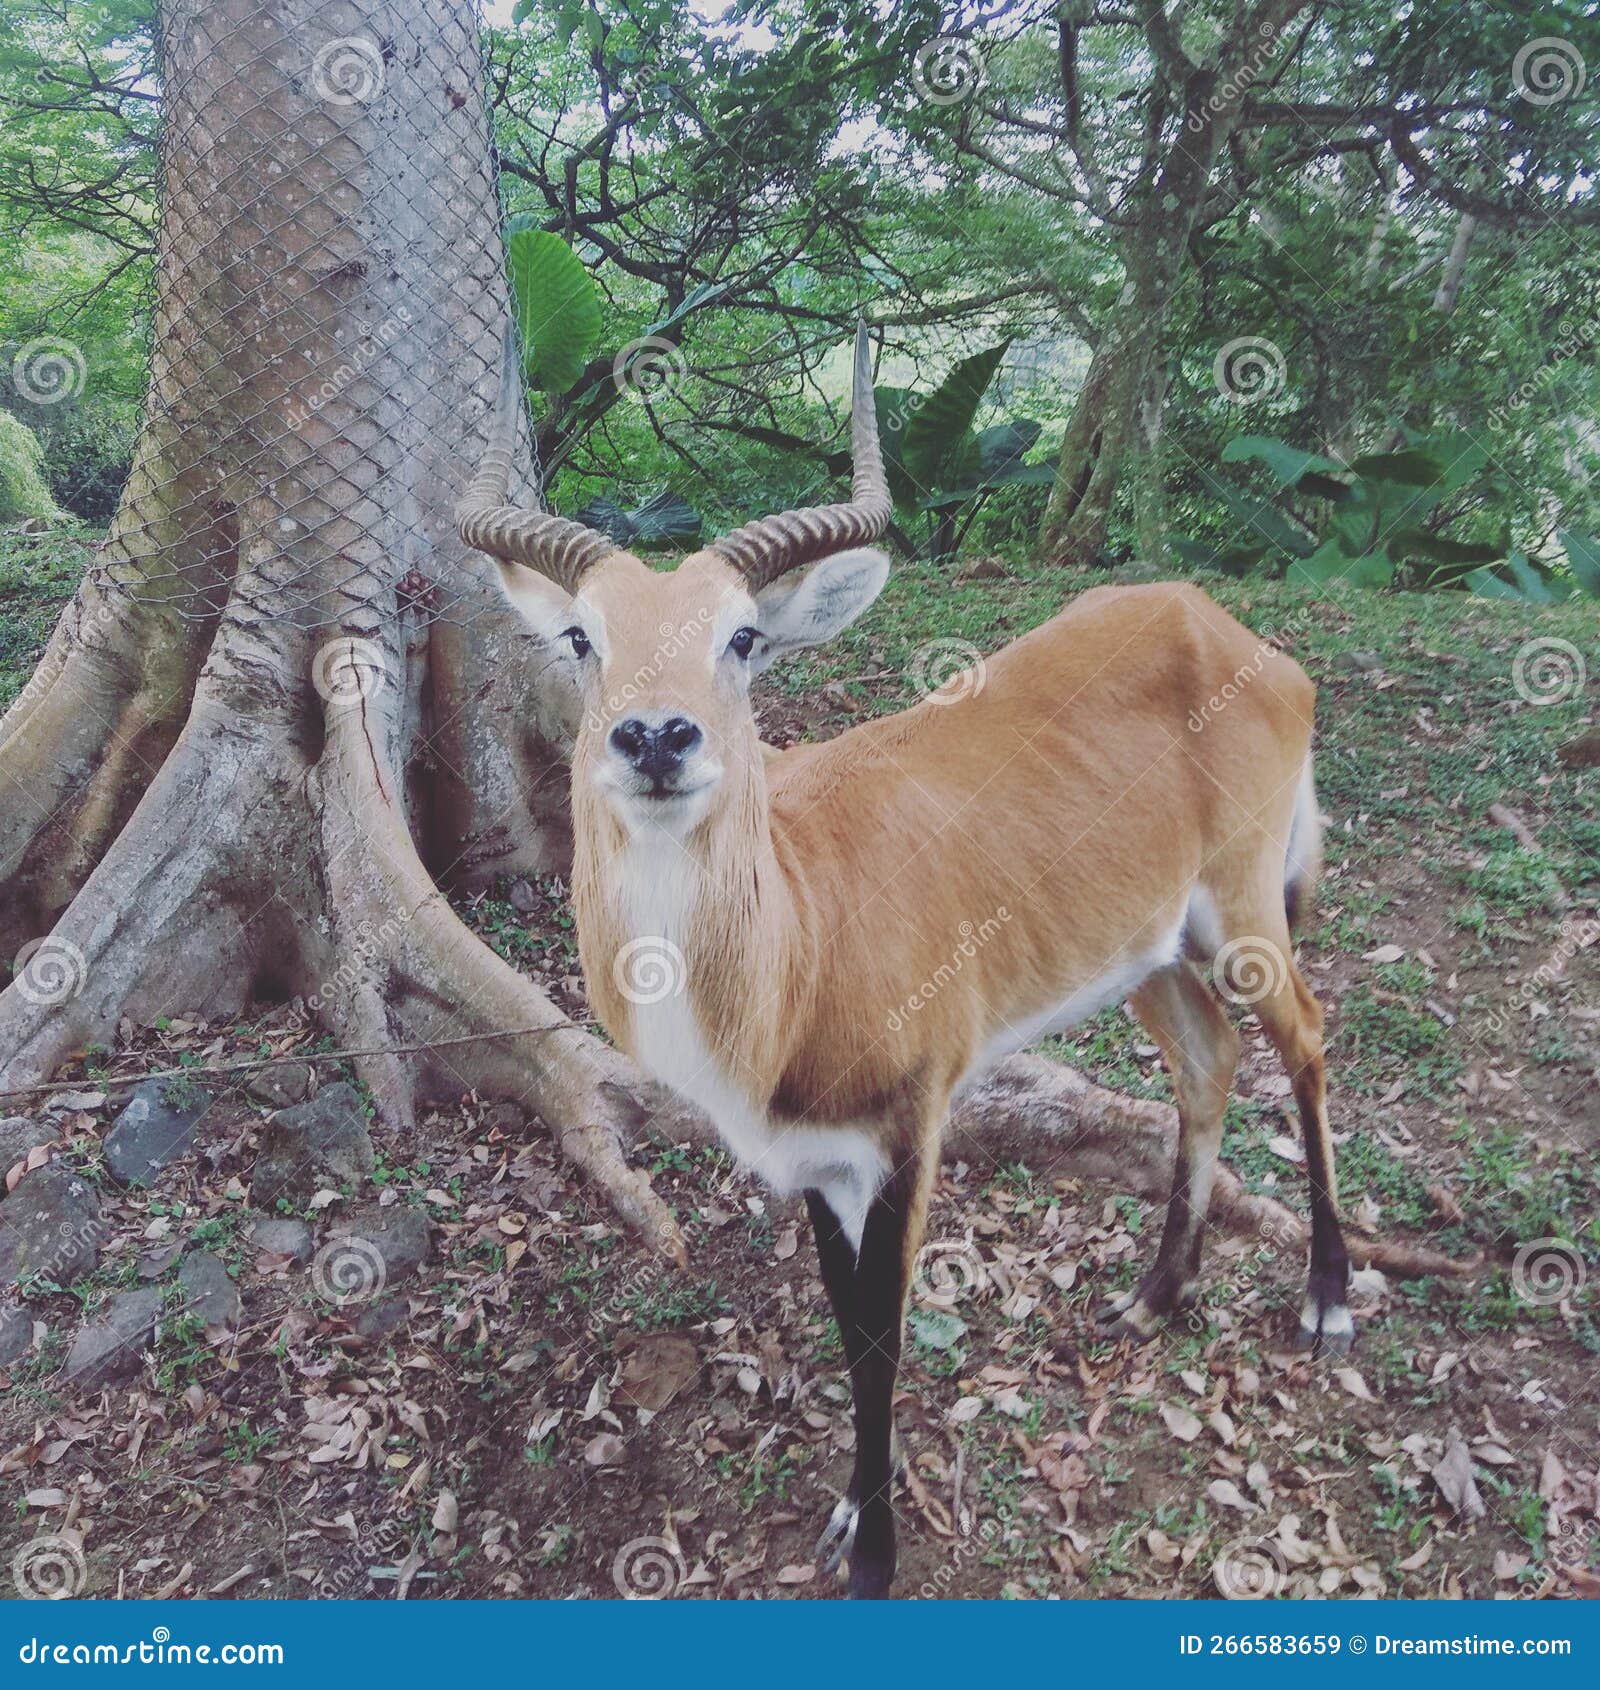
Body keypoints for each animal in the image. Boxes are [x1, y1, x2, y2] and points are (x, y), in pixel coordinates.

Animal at [459, 324, 1351, 1599]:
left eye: (742, 635)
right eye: (584, 636)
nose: (655, 737)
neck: (796, 953)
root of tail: (1231, 634)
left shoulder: (907, 1131)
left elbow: (880, 1340)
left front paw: (875, 1553)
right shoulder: (814, 1161)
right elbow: (845, 1326)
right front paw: (844, 1512)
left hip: (1241, 913)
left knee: (1309, 1039)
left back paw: (1327, 1299)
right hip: (1149, 953)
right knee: (1209, 1064)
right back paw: (1152, 1297)